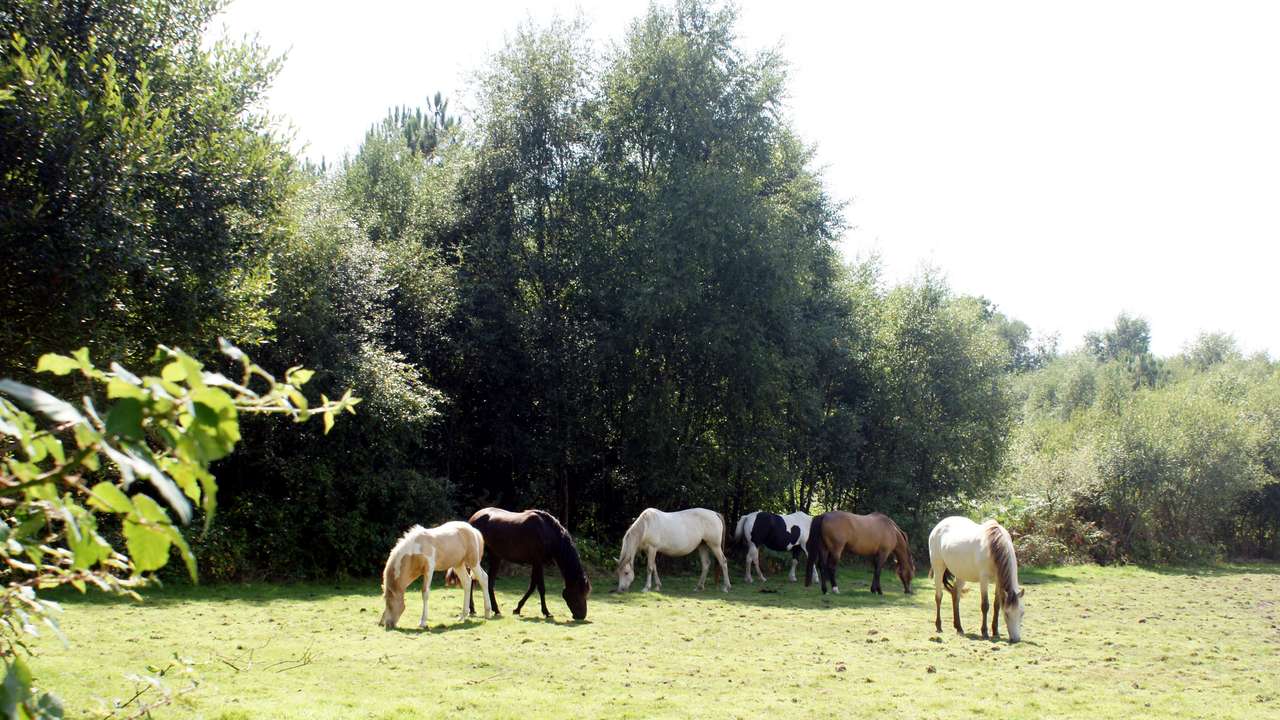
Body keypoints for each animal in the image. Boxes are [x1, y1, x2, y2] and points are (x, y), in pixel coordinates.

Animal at [451, 507, 592, 621]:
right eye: (578, 593)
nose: (581, 616)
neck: (547, 532)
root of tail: (472, 519)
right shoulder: (538, 562)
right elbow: (540, 587)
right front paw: (546, 612)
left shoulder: (536, 563)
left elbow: (532, 586)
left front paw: (517, 609)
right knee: (474, 579)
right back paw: (474, 609)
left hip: (495, 557)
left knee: (487, 581)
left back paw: (493, 609)